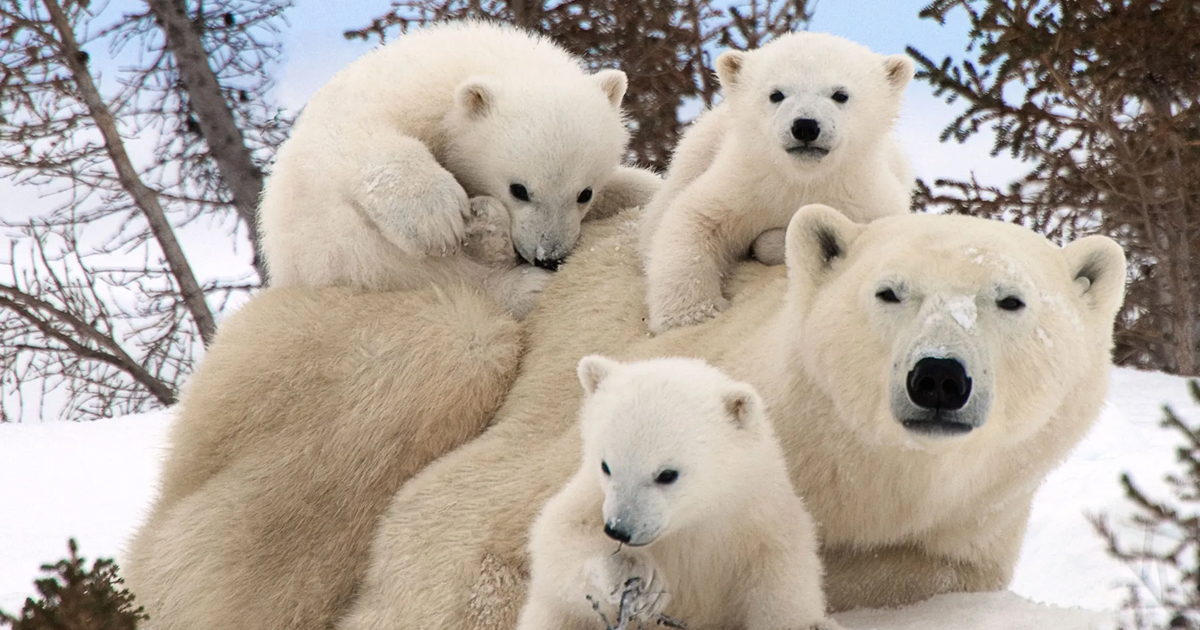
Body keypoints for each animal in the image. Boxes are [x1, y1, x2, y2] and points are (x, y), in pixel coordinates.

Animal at [257, 20, 661, 318]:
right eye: (519, 189)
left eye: (584, 193)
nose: (548, 256)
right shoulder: (386, 99)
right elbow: (362, 137)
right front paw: (436, 217)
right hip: (338, 249)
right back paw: (518, 277)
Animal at [518, 355, 834, 630]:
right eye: (606, 466)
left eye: (667, 474)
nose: (619, 529)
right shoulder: (590, 496)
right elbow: (556, 538)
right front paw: (639, 577)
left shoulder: (760, 522)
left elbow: (783, 579)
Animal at [638, 32, 915, 333]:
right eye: (776, 94)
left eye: (840, 94)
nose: (805, 126)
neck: (803, 179)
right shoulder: (744, 184)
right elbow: (695, 219)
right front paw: (693, 314)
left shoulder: (866, 199)